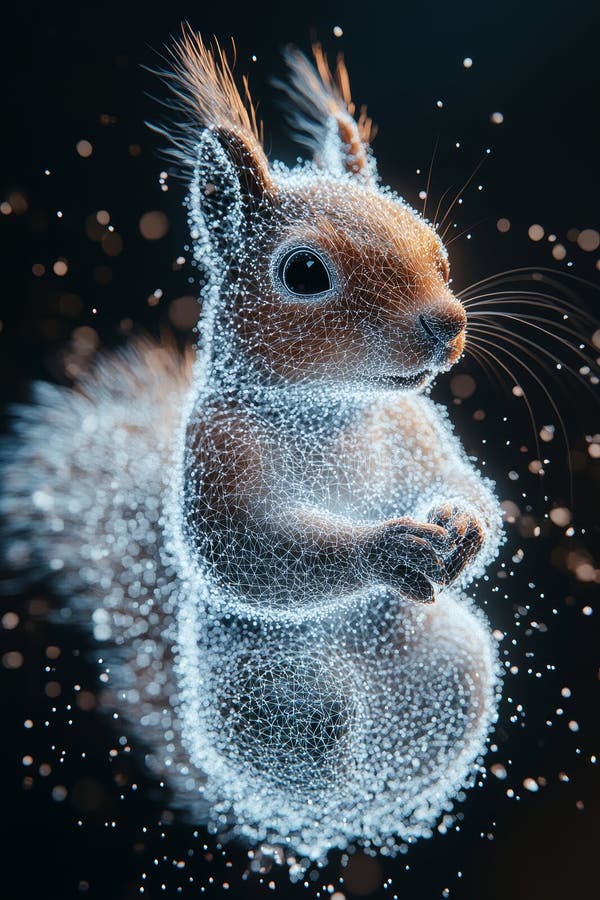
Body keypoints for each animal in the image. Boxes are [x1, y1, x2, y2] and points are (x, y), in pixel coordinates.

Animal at [1, 31, 503, 862]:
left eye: (433, 243)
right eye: (303, 272)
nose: (446, 324)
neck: (333, 413)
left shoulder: (416, 429)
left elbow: (468, 490)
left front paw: (460, 526)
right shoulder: (216, 451)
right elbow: (241, 550)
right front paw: (386, 548)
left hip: (455, 667)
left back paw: (388, 794)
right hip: (266, 696)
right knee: (316, 732)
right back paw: (328, 785)